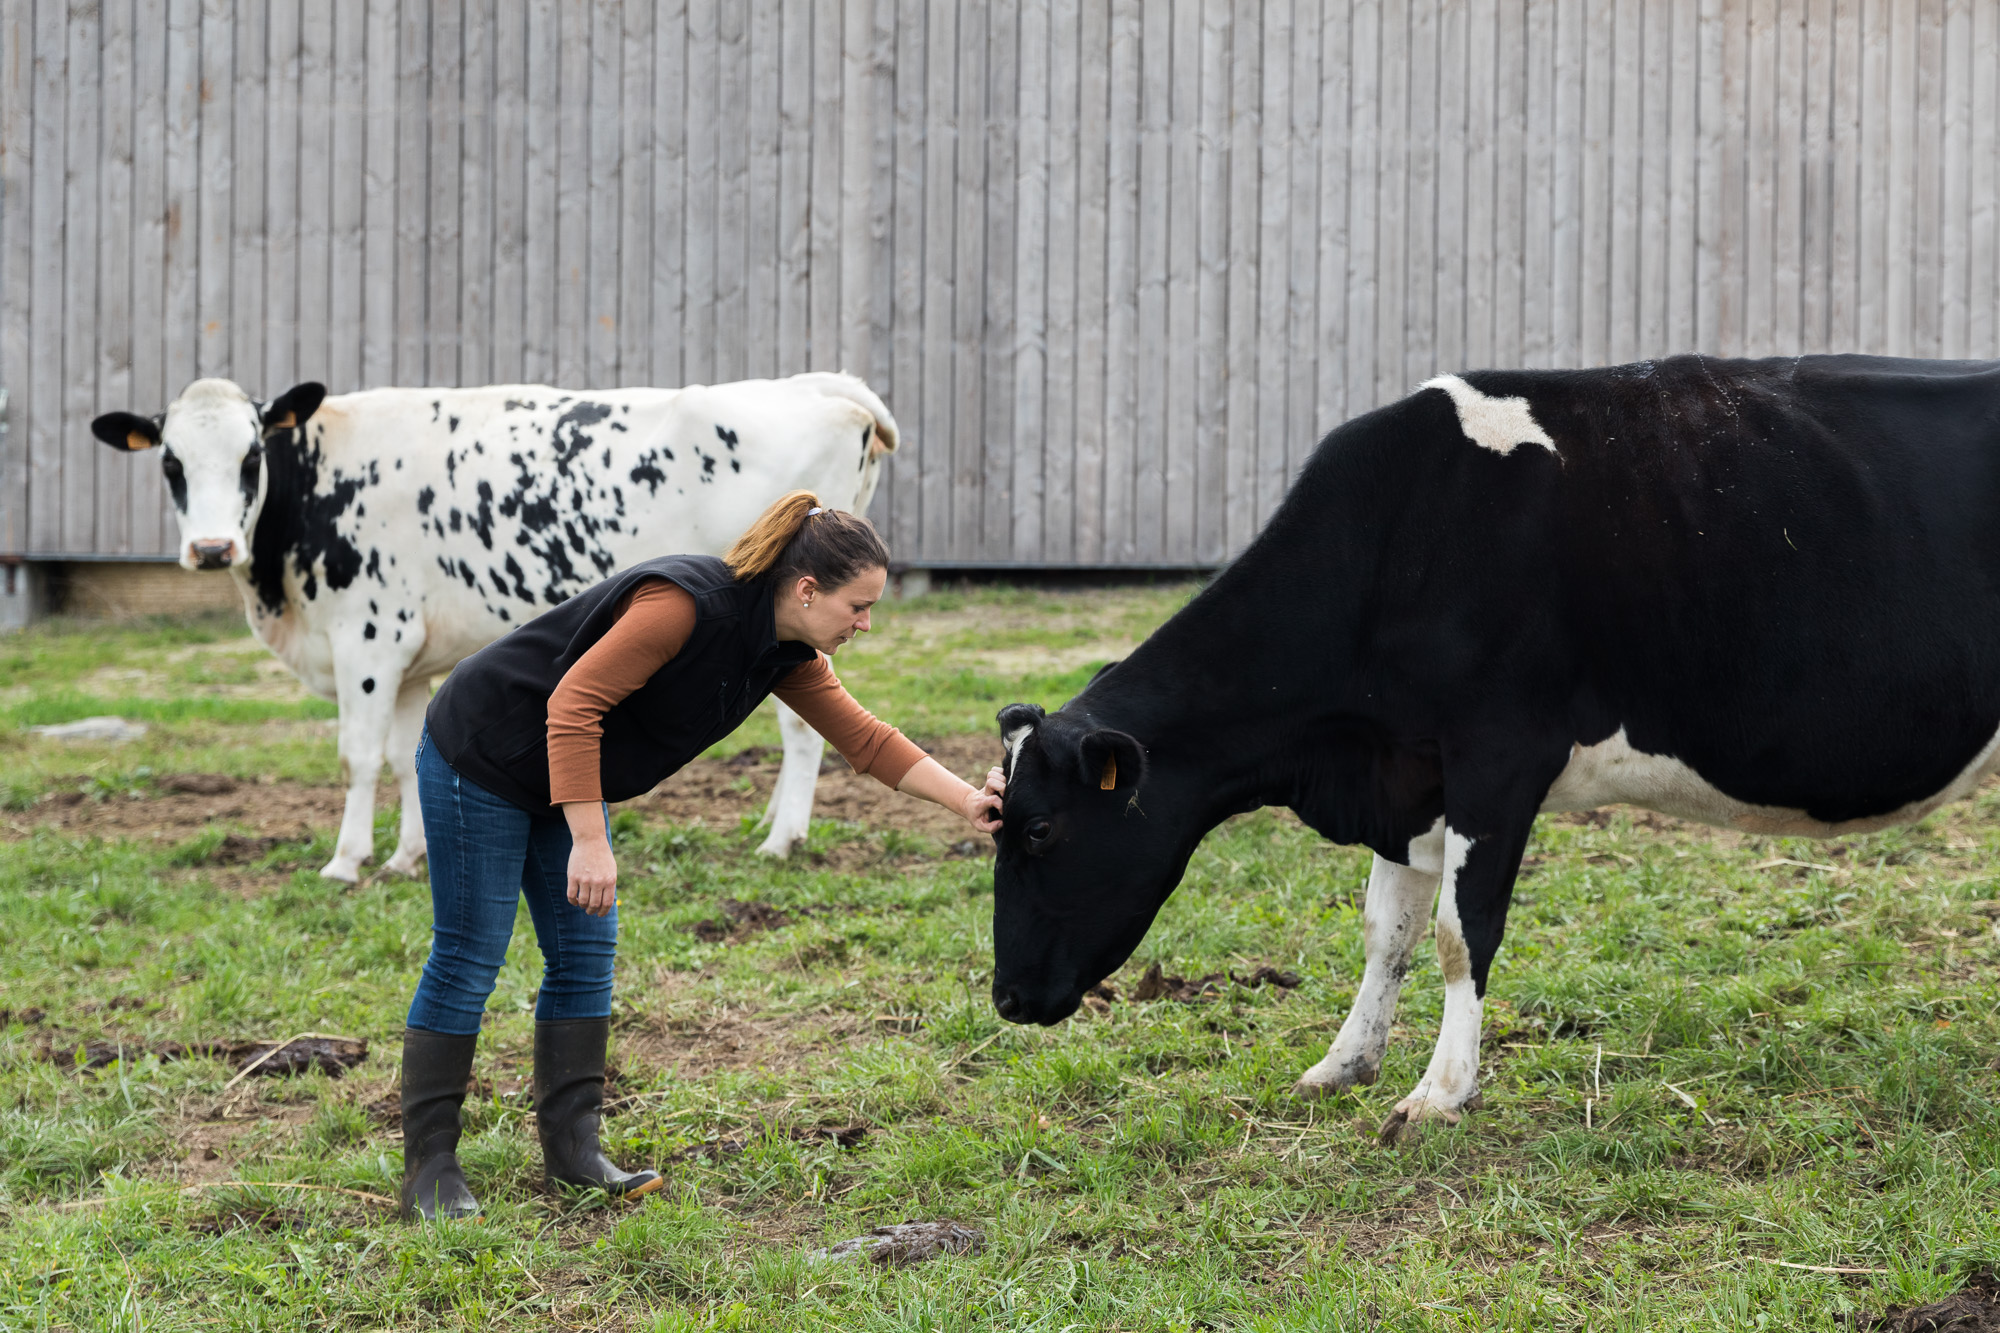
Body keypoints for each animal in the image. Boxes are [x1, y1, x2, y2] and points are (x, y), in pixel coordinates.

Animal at [90, 373, 899, 882]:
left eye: (252, 454)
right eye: (171, 463)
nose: (212, 547)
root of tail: (818, 383)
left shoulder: (367, 637)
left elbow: (358, 756)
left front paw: (346, 862)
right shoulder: (409, 657)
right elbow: (404, 756)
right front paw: (406, 857)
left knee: (801, 730)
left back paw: (783, 839)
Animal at [988, 353, 2000, 1144]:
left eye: (1039, 831)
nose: (1005, 997)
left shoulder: (1499, 755)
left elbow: (1458, 933)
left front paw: (1439, 1092)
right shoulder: (1408, 776)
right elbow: (1385, 930)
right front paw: (1343, 1063)